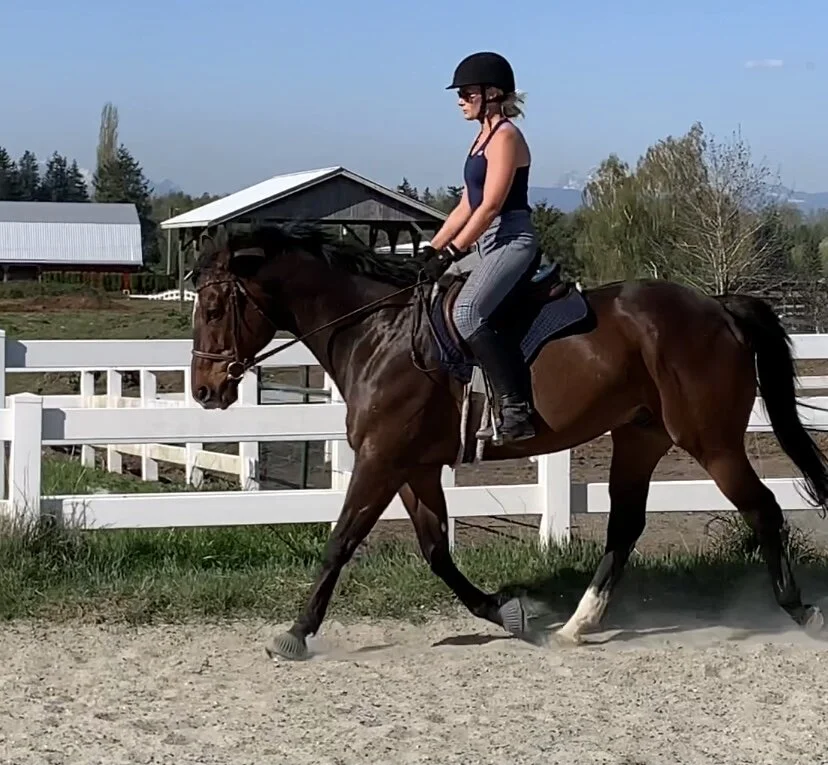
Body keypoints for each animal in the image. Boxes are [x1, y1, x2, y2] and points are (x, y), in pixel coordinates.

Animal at [189, 222, 828, 661]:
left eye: (215, 307)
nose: (204, 390)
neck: (380, 335)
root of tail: (716, 307)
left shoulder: (380, 460)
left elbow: (341, 541)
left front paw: (296, 634)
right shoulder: (414, 468)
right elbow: (436, 551)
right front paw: (509, 612)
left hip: (711, 441)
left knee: (763, 510)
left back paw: (800, 611)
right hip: (639, 437)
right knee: (626, 526)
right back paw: (577, 624)